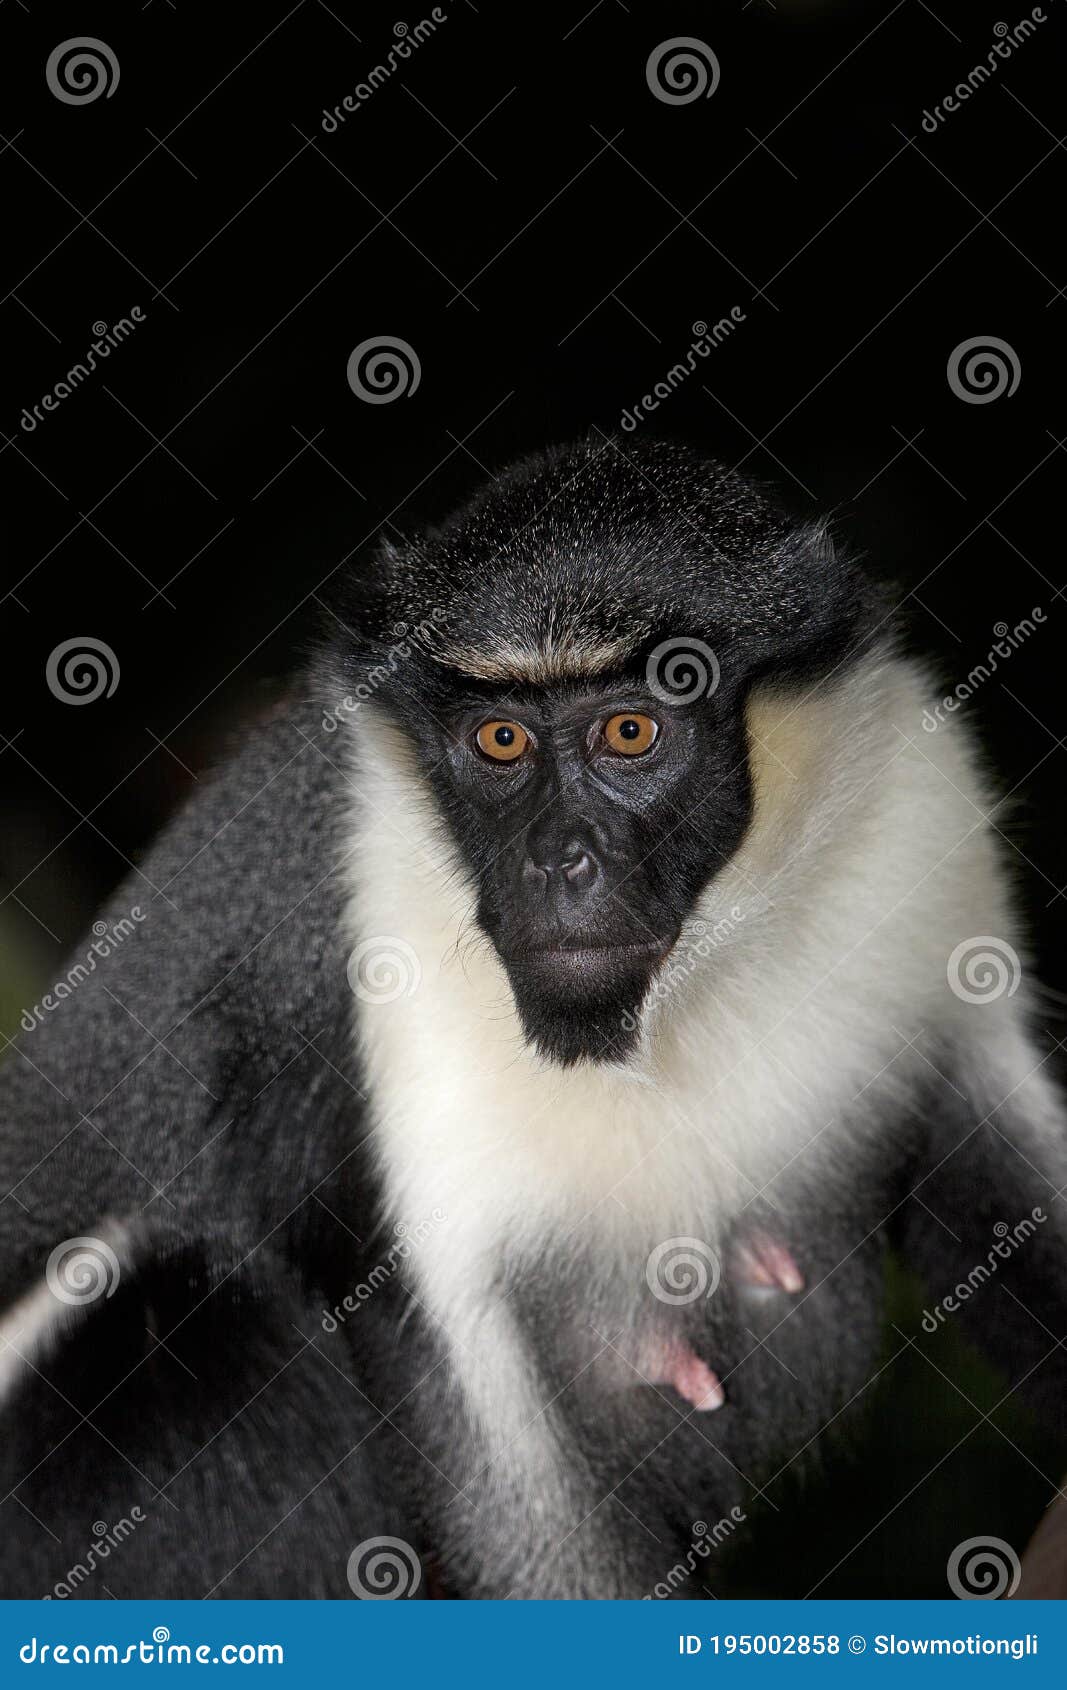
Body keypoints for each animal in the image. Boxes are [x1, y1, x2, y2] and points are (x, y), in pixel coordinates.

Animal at [0, 435, 1065, 1600]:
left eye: (630, 729)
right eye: (501, 740)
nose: (556, 863)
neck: (689, 989)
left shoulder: (921, 820)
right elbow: (523, 1502)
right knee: (181, 1306)